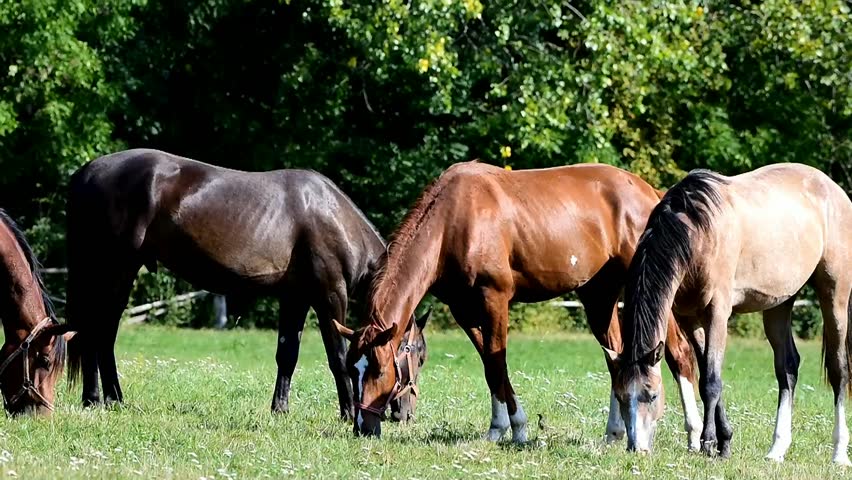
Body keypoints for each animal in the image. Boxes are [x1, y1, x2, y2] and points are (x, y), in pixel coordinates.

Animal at [64, 148, 427, 420]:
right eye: (417, 354)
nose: (404, 413)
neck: (334, 216)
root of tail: (87, 173)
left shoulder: (294, 297)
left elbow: (288, 354)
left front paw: (280, 409)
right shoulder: (329, 294)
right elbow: (338, 356)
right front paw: (348, 412)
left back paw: (103, 399)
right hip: (116, 270)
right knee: (99, 332)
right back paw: (103, 399)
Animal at [332, 161, 701, 446]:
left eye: (379, 369)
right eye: (352, 368)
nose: (362, 428)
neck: (454, 221)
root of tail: (650, 193)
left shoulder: (495, 299)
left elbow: (499, 362)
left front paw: (518, 430)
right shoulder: (464, 310)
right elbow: (489, 367)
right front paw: (498, 429)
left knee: (678, 353)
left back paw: (695, 436)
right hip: (599, 297)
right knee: (616, 359)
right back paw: (614, 435)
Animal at [608, 163, 852, 464]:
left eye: (652, 395)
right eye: (620, 396)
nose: (637, 449)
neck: (697, 232)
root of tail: (833, 189)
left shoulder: (717, 313)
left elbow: (711, 382)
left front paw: (709, 444)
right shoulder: (690, 319)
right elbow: (707, 376)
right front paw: (724, 442)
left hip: (835, 295)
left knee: (839, 371)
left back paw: (839, 454)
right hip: (779, 304)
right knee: (788, 369)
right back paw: (777, 450)